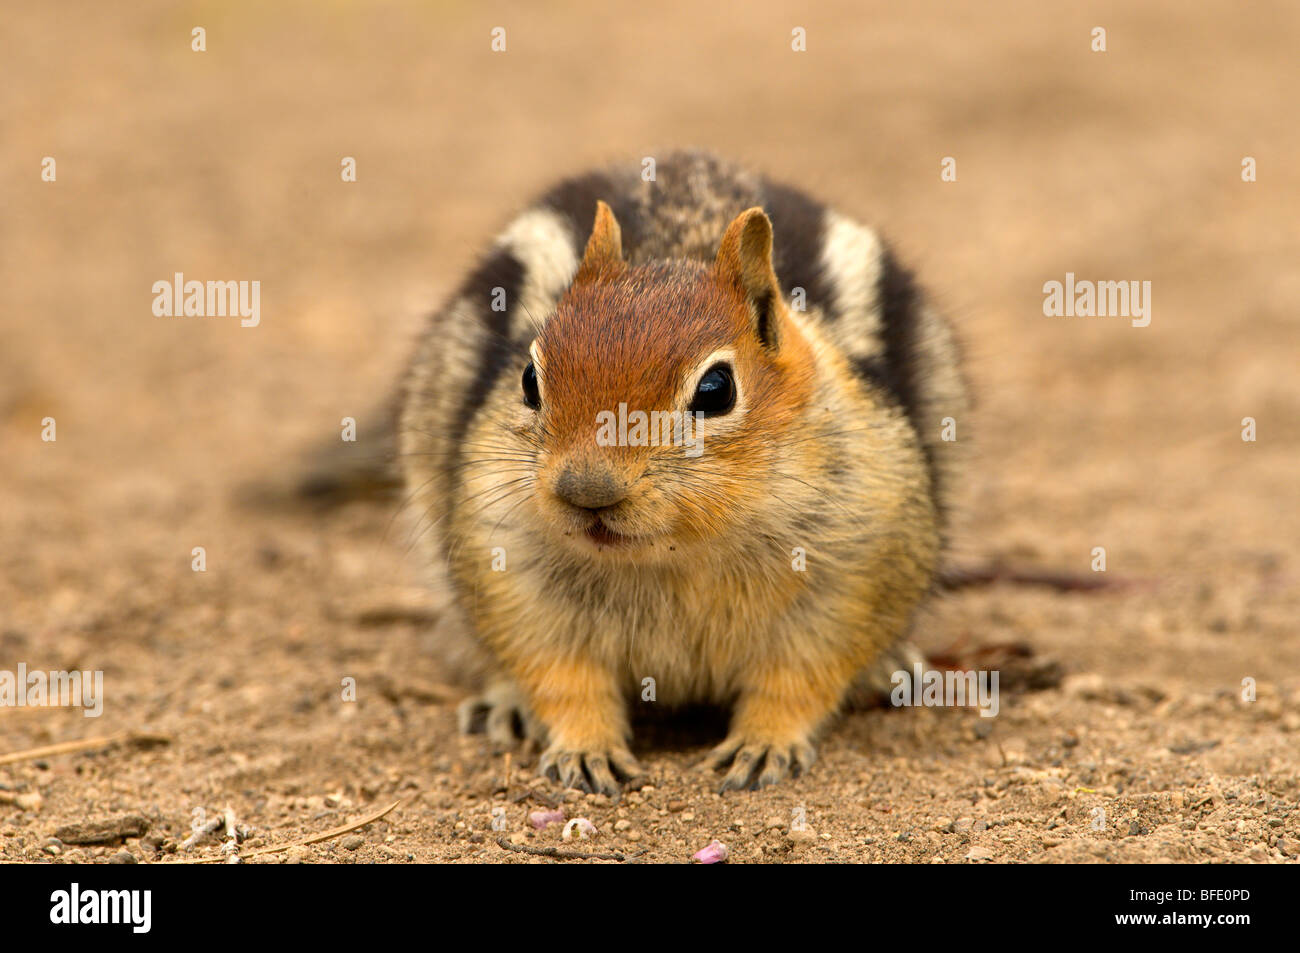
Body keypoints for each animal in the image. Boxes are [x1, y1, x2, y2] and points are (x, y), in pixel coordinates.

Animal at [400, 150, 972, 790]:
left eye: (716, 390)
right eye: (528, 380)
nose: (587, 492)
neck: (677, 553)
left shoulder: (859, 564)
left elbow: (800, 677)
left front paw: (764, 743)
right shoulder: (508, 560)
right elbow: (561, 674)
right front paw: (585, 747)